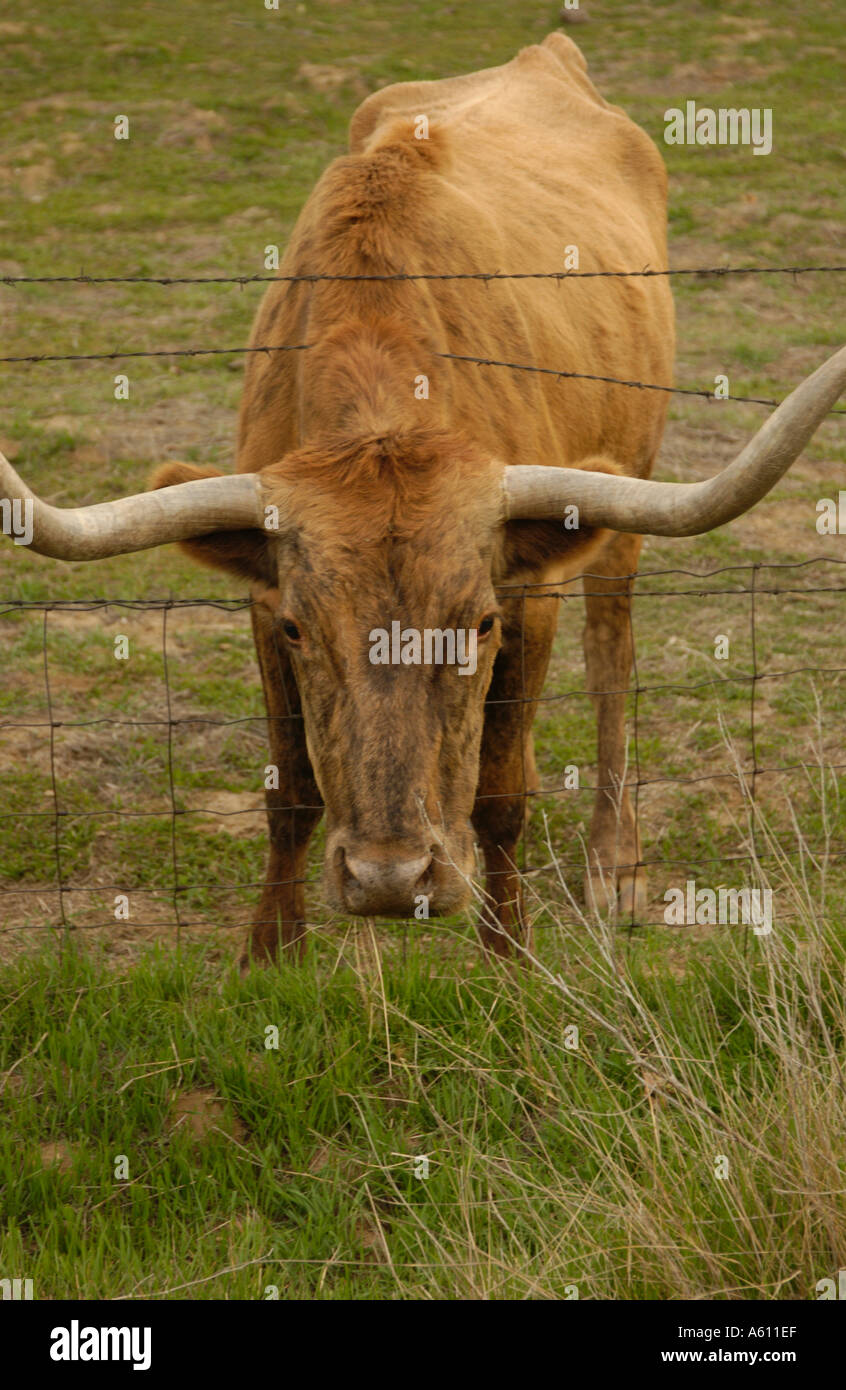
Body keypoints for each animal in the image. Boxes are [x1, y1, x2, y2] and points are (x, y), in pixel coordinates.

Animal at [2, 34, 844, 968]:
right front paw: (272, 947)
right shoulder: (260, 599)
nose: (388, 879)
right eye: (300, 628)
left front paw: (508, 950)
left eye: (477, 623)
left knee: (611, 651)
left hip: (627, 492)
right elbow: (291, 787)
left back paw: (613, 864)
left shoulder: (529, 596)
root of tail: (544, 53)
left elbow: (502, 792)